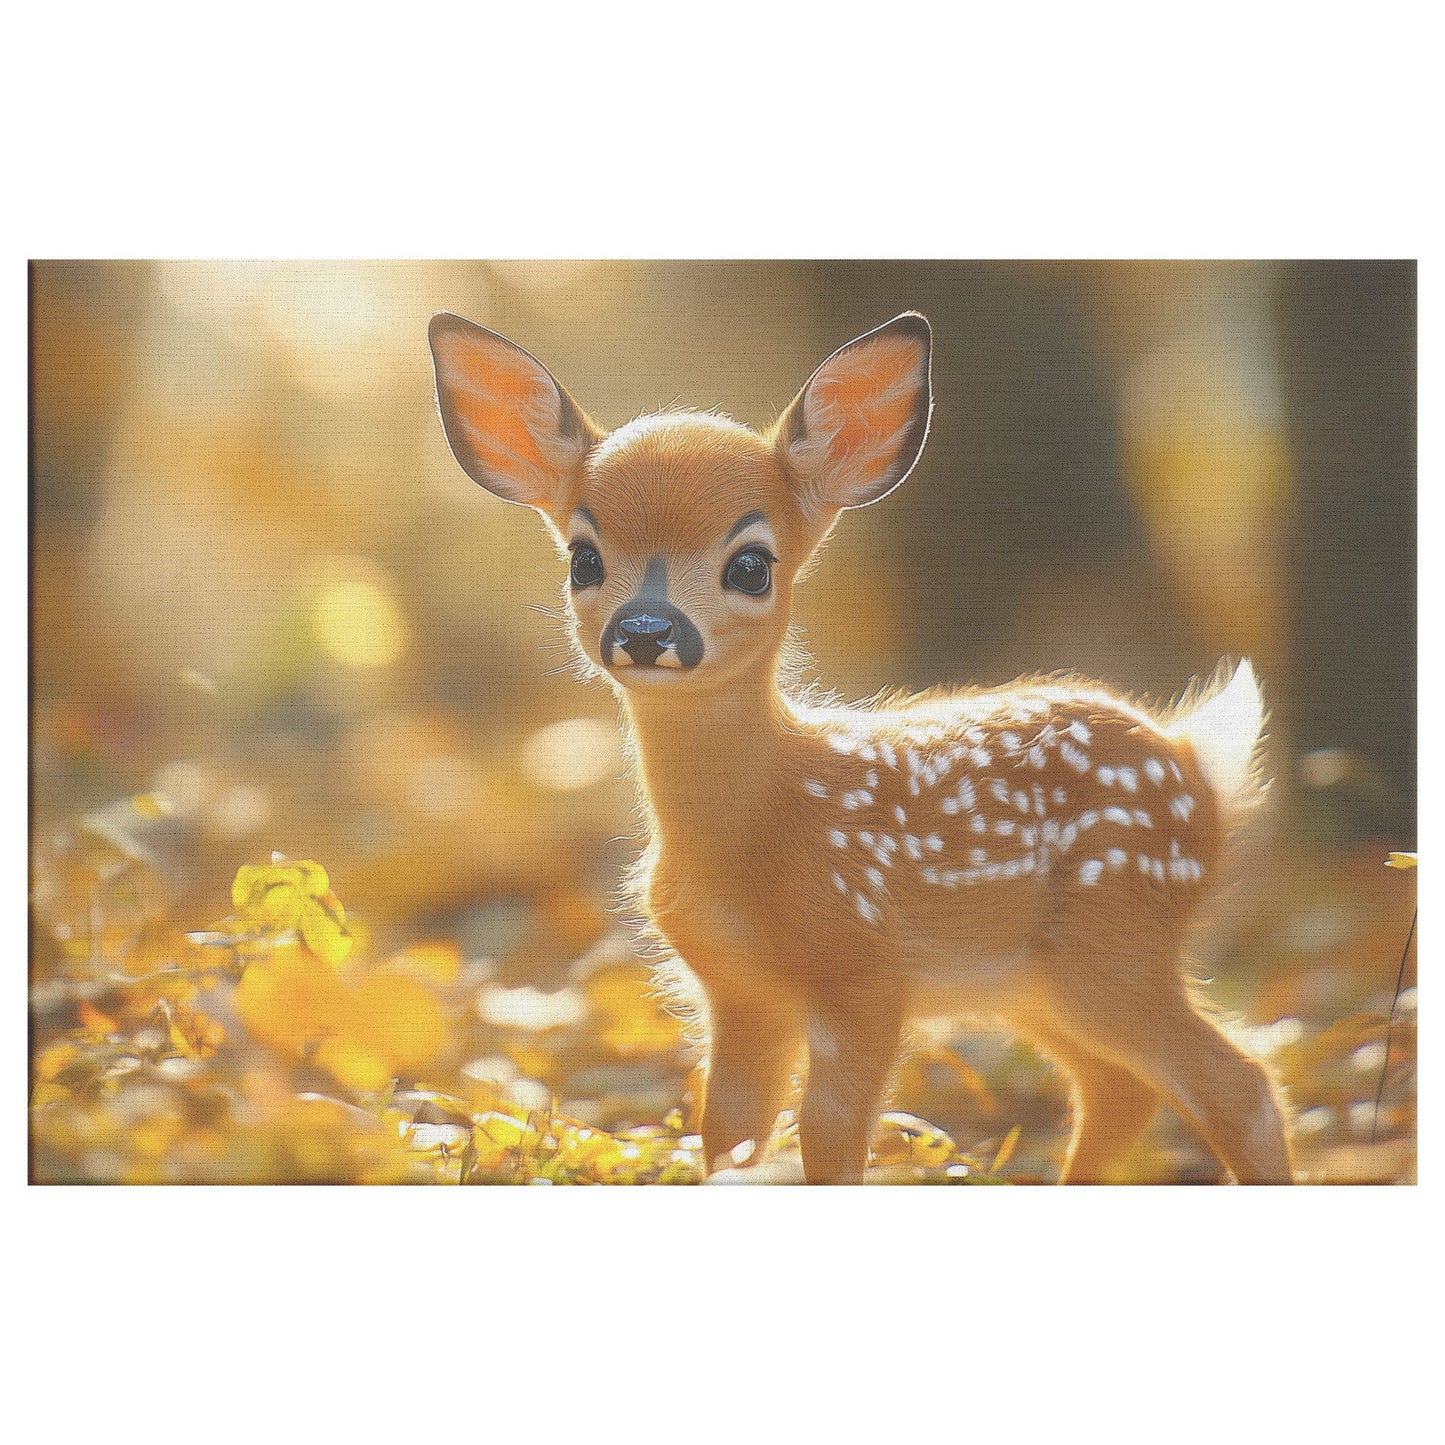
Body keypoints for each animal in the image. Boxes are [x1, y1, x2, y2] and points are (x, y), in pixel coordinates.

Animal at [427, 308, 1294, 1184]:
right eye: (584, 558)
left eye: (751, 564)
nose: (645, 629)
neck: (753, 827)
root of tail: (1194, 759)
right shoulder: (737, 988)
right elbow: (729, 1134)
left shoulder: (862, 962)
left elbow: (832, 1135)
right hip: (1032, 978)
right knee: (1120, 1089)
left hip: (1114, 933)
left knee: (1239, 1083)